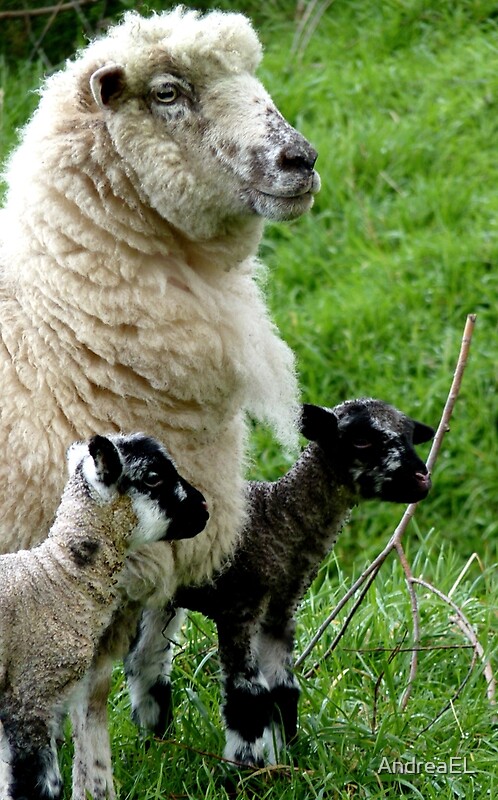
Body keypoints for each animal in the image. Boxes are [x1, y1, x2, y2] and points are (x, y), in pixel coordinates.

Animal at [124, 399, 434, 767]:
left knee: (146, 664)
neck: (279, 518)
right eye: (361, 440)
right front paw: (248, 770)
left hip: (161, 596)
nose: (421, 478)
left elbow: (284, 689)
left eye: (411, 435)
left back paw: (155, 744)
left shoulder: (282, 609)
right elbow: (248, 695)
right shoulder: (239, 607)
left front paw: (288, 758)